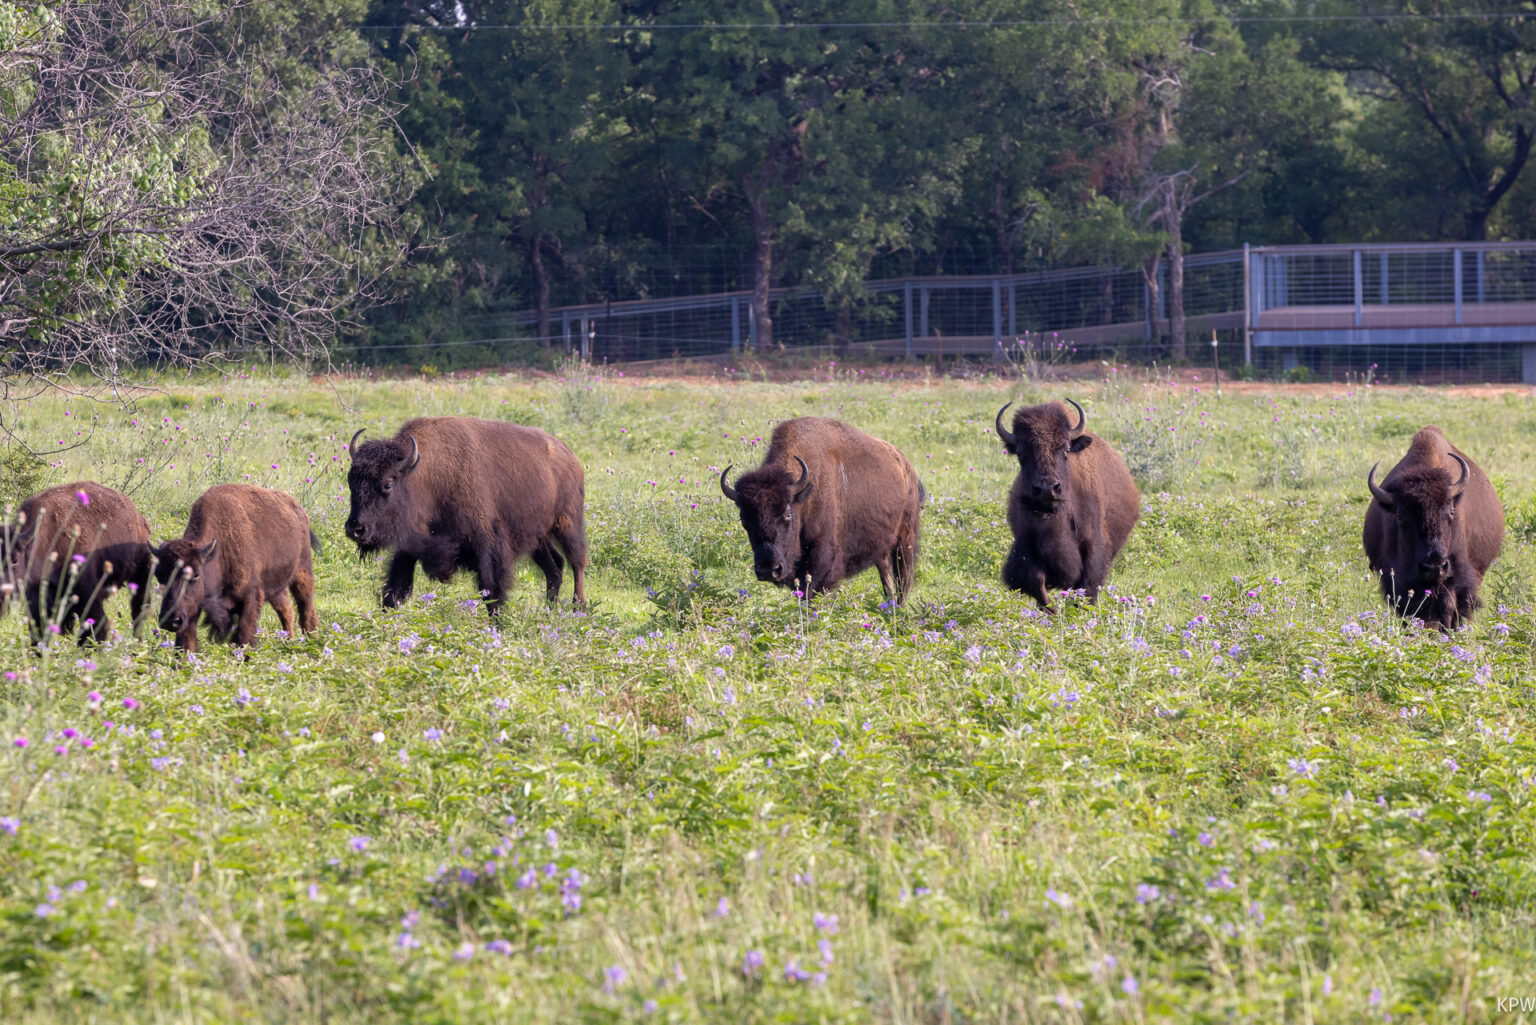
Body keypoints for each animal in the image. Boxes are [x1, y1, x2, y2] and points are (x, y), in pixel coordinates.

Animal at [154, 484, 320, 651]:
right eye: (159, 576)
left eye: (195, 575)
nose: (171, 620)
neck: (217, 551)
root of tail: (299, 510)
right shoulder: (192, 609)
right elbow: (185, 643)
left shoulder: (250, 601)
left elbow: (243, 638)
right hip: (277, 586)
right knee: (286, 610)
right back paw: (288, 641)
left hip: (302, 574)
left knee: (307, 612)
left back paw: (311, 642)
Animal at [345, 416, 588, 611]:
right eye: (350, 480)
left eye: (387, 484)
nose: (355, 529)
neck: (425, 474)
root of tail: (570, 457)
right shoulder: (409, 546)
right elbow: (395, 590)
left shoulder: (488, 545)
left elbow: (492, 593)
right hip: (538, 537)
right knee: (555, 567)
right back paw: (549, 609)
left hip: (568, 523)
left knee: (577, 562)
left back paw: (578, 606)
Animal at [719, 417, 924, 605]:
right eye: (744, 519)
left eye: (788, 514)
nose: (769, 570)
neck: (804, 495)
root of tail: (905, 465)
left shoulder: (822, 559)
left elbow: (810, 591)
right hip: (882, 547)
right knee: (888, 579)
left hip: (905, 541)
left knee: (903, 580)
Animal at [995, 398, 1139, 610]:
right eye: (1020, 453)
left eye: (1065, 449)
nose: (1047, 489)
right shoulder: (1025, 548)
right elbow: (1036, 580)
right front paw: (1052, 610)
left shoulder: (1093, 547)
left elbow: (1087, 586)